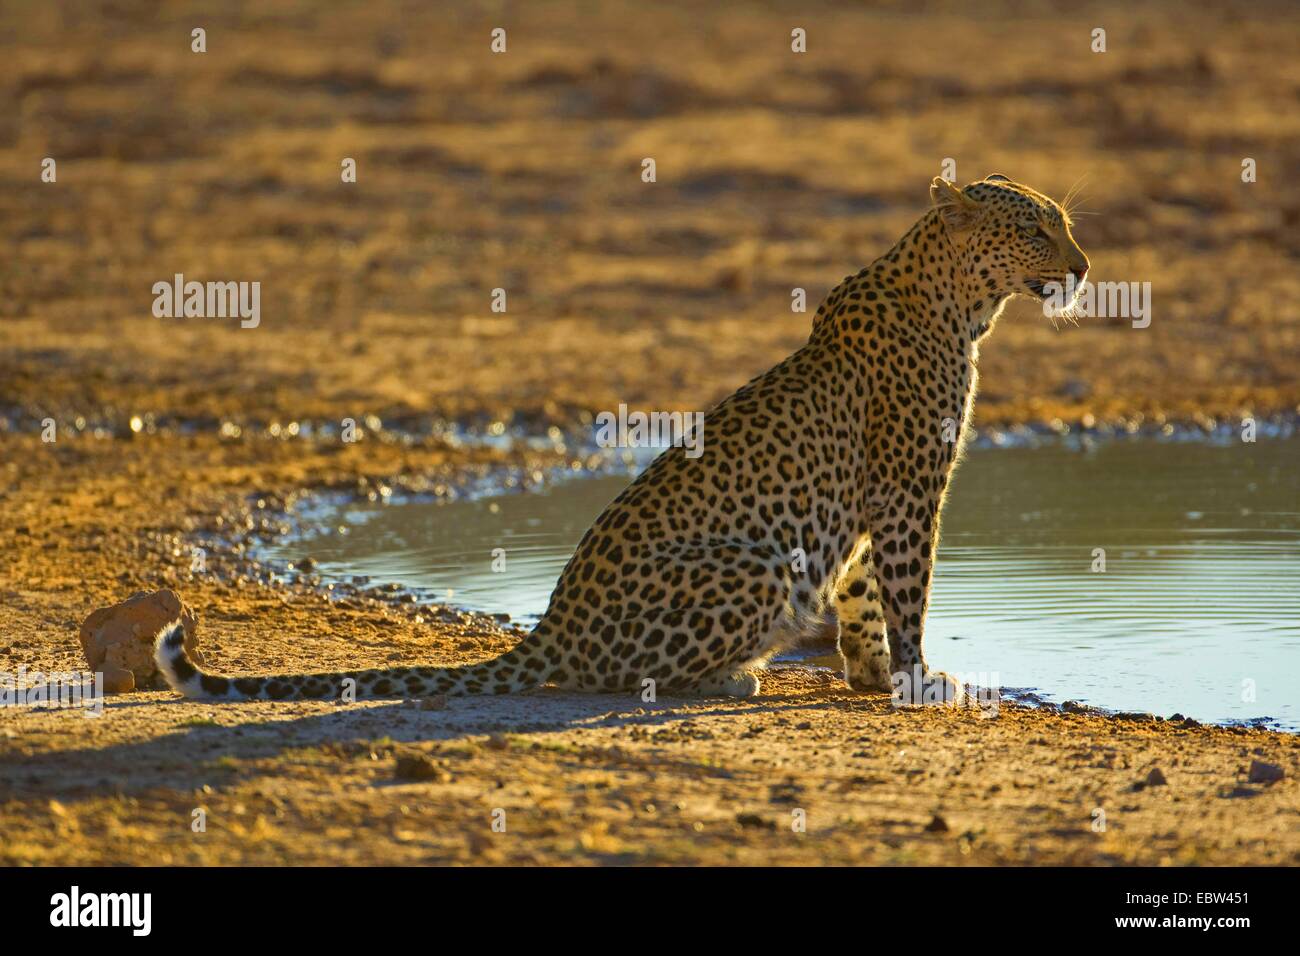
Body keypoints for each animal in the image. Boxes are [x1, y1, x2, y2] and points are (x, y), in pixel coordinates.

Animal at [156, 174, 1089, 705]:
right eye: (1036, 229)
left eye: (1063, 224)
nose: (1083, 268)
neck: (965, 304)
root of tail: (552, 625)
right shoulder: (906, 490)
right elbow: (906, 591)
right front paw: (917, 677)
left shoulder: (870, 498)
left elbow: (861, 588)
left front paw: (869, 673)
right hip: (757, 564)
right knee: (614, 675)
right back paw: (733, 675)